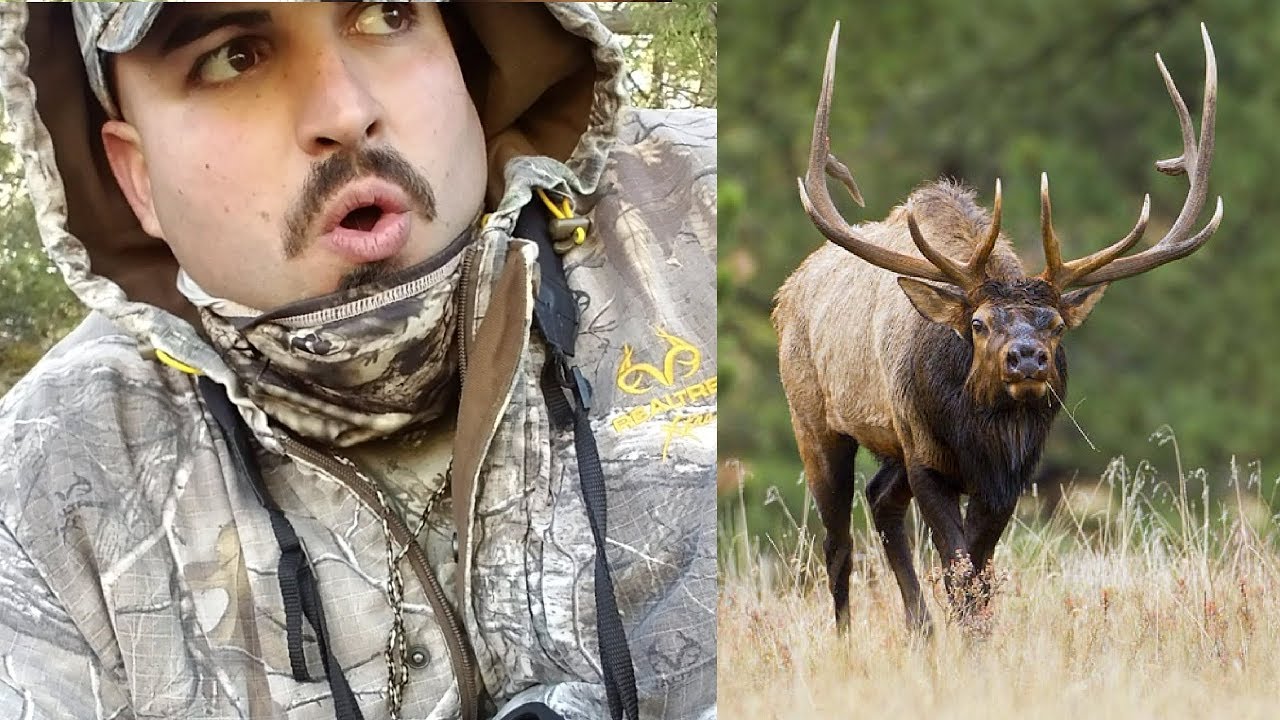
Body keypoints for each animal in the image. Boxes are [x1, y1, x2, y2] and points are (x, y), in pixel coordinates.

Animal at [773, 22, 1220, 632]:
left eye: (1055, 325)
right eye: (979, 323)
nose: (1027, 357)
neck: (981, 436)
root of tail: (786, 292)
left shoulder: (1011, 477)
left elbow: (980, 577)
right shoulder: (925, 455)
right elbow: (959, 573)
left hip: (887, 447)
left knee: (881, 501)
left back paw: (920, 631)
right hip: (815, 419)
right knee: (838, 543)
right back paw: (847, 639)